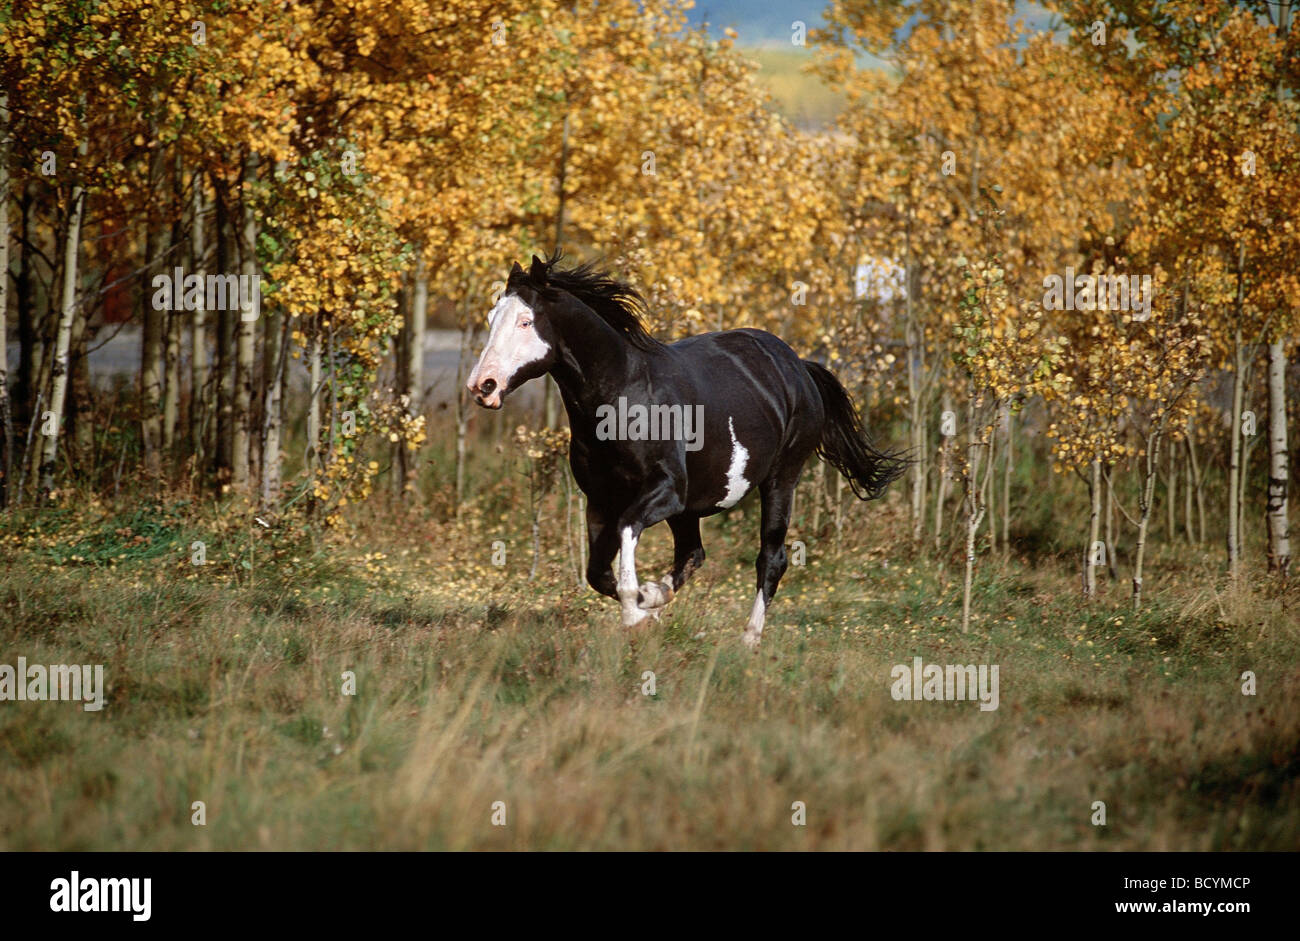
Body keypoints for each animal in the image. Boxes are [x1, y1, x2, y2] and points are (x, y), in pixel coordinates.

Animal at [467, 253, 907, 648]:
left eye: (525, 321)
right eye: (491, 319)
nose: (482, 386)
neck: (624, 396)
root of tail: (799, 365)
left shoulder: (665, 492)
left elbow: (626, 534)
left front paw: (636, 611)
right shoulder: (601, 500)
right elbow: (597, 572)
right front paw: (647, 602)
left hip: (781, 479)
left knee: (771, 557)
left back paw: (749, 639)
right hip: (691, 509)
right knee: (693, 554)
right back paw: (662, 601)